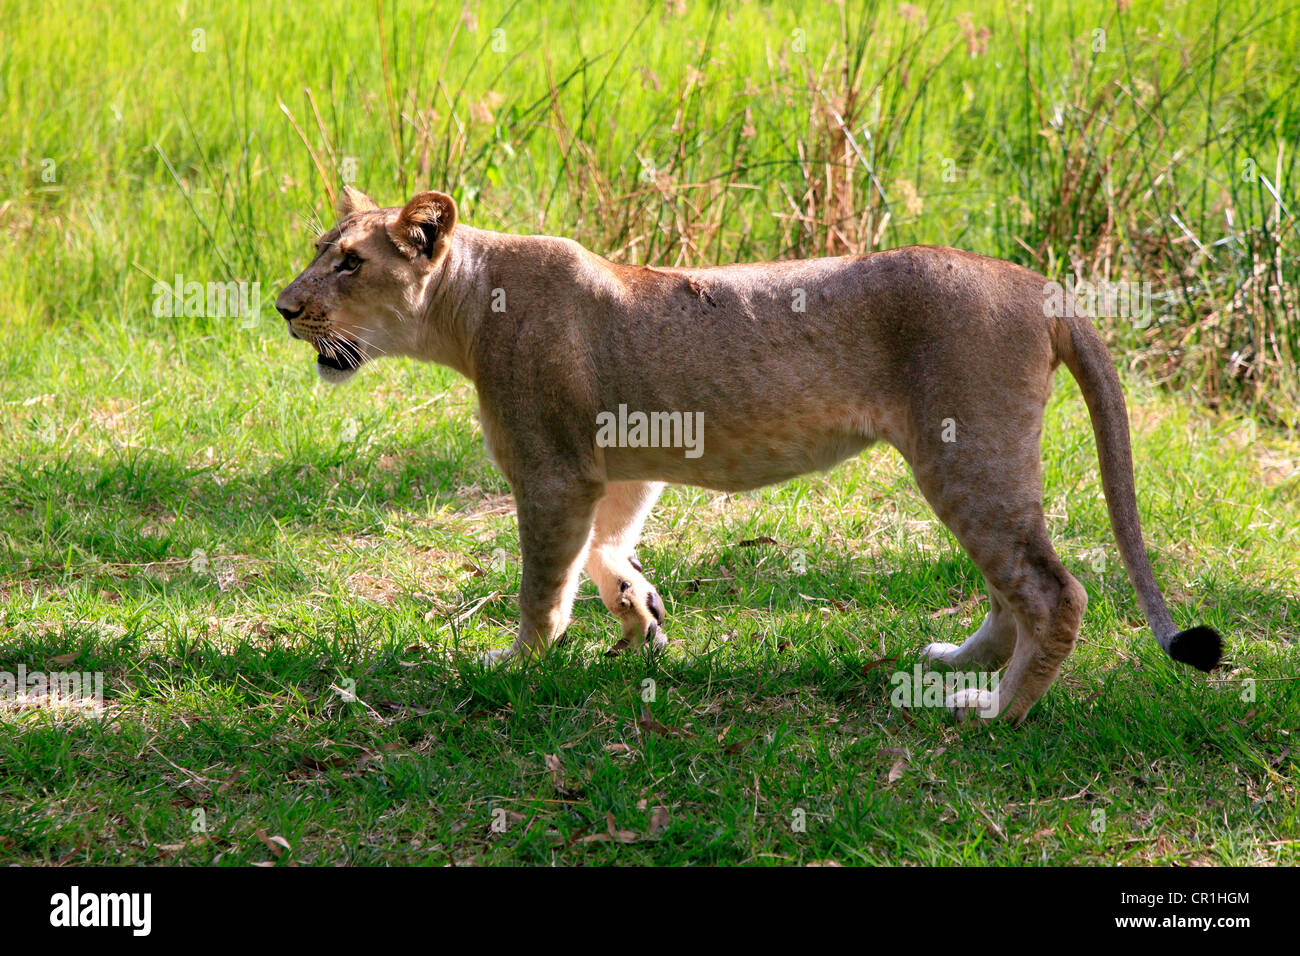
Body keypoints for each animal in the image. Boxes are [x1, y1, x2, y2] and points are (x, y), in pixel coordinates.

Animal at [275, 185, 1223, 723]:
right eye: (320, 251)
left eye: (350, 264)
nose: (284, 307)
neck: (467, 309)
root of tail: (1041, 287)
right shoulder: (624, 458)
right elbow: (607, 545)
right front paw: (640, 614)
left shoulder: (550, 473)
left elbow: (545, 582)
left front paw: (516, 666)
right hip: (974, 463)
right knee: (1015, 583)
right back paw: (959, 664)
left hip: (966, 454)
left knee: (1053, 589)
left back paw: (994, 713)